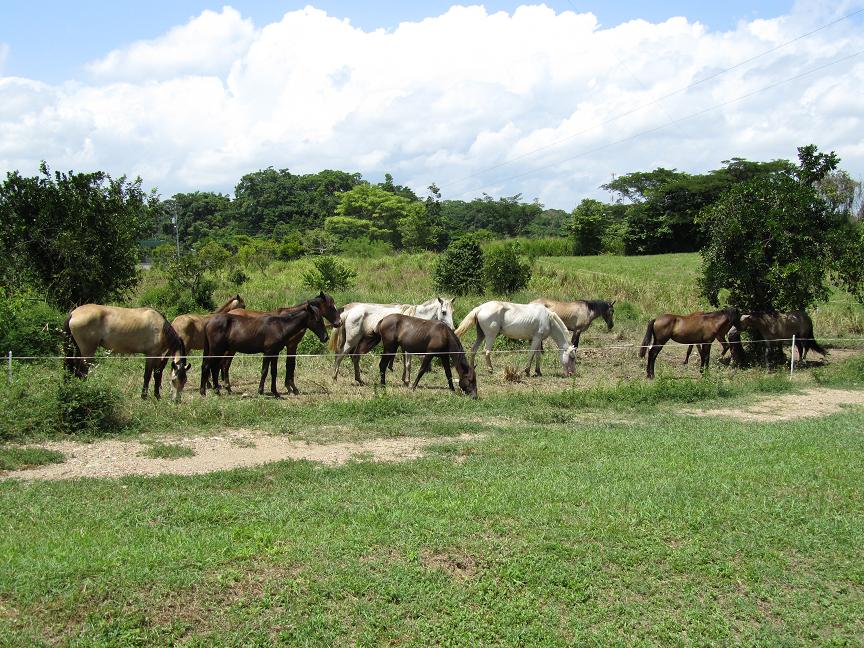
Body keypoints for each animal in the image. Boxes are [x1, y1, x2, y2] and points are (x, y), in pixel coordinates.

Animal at [200, 303, 329, 398]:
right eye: (318, 320)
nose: (325, 337)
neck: (280, 326)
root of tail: (208, 322)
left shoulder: (275, 353)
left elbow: (274, 372)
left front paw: (275, 392)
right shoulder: (268, 352)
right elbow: (264, 371)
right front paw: (261, 391)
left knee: (214, 368)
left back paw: (217, 391)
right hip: (216, 350)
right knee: (207, 367)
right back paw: (203, 392)